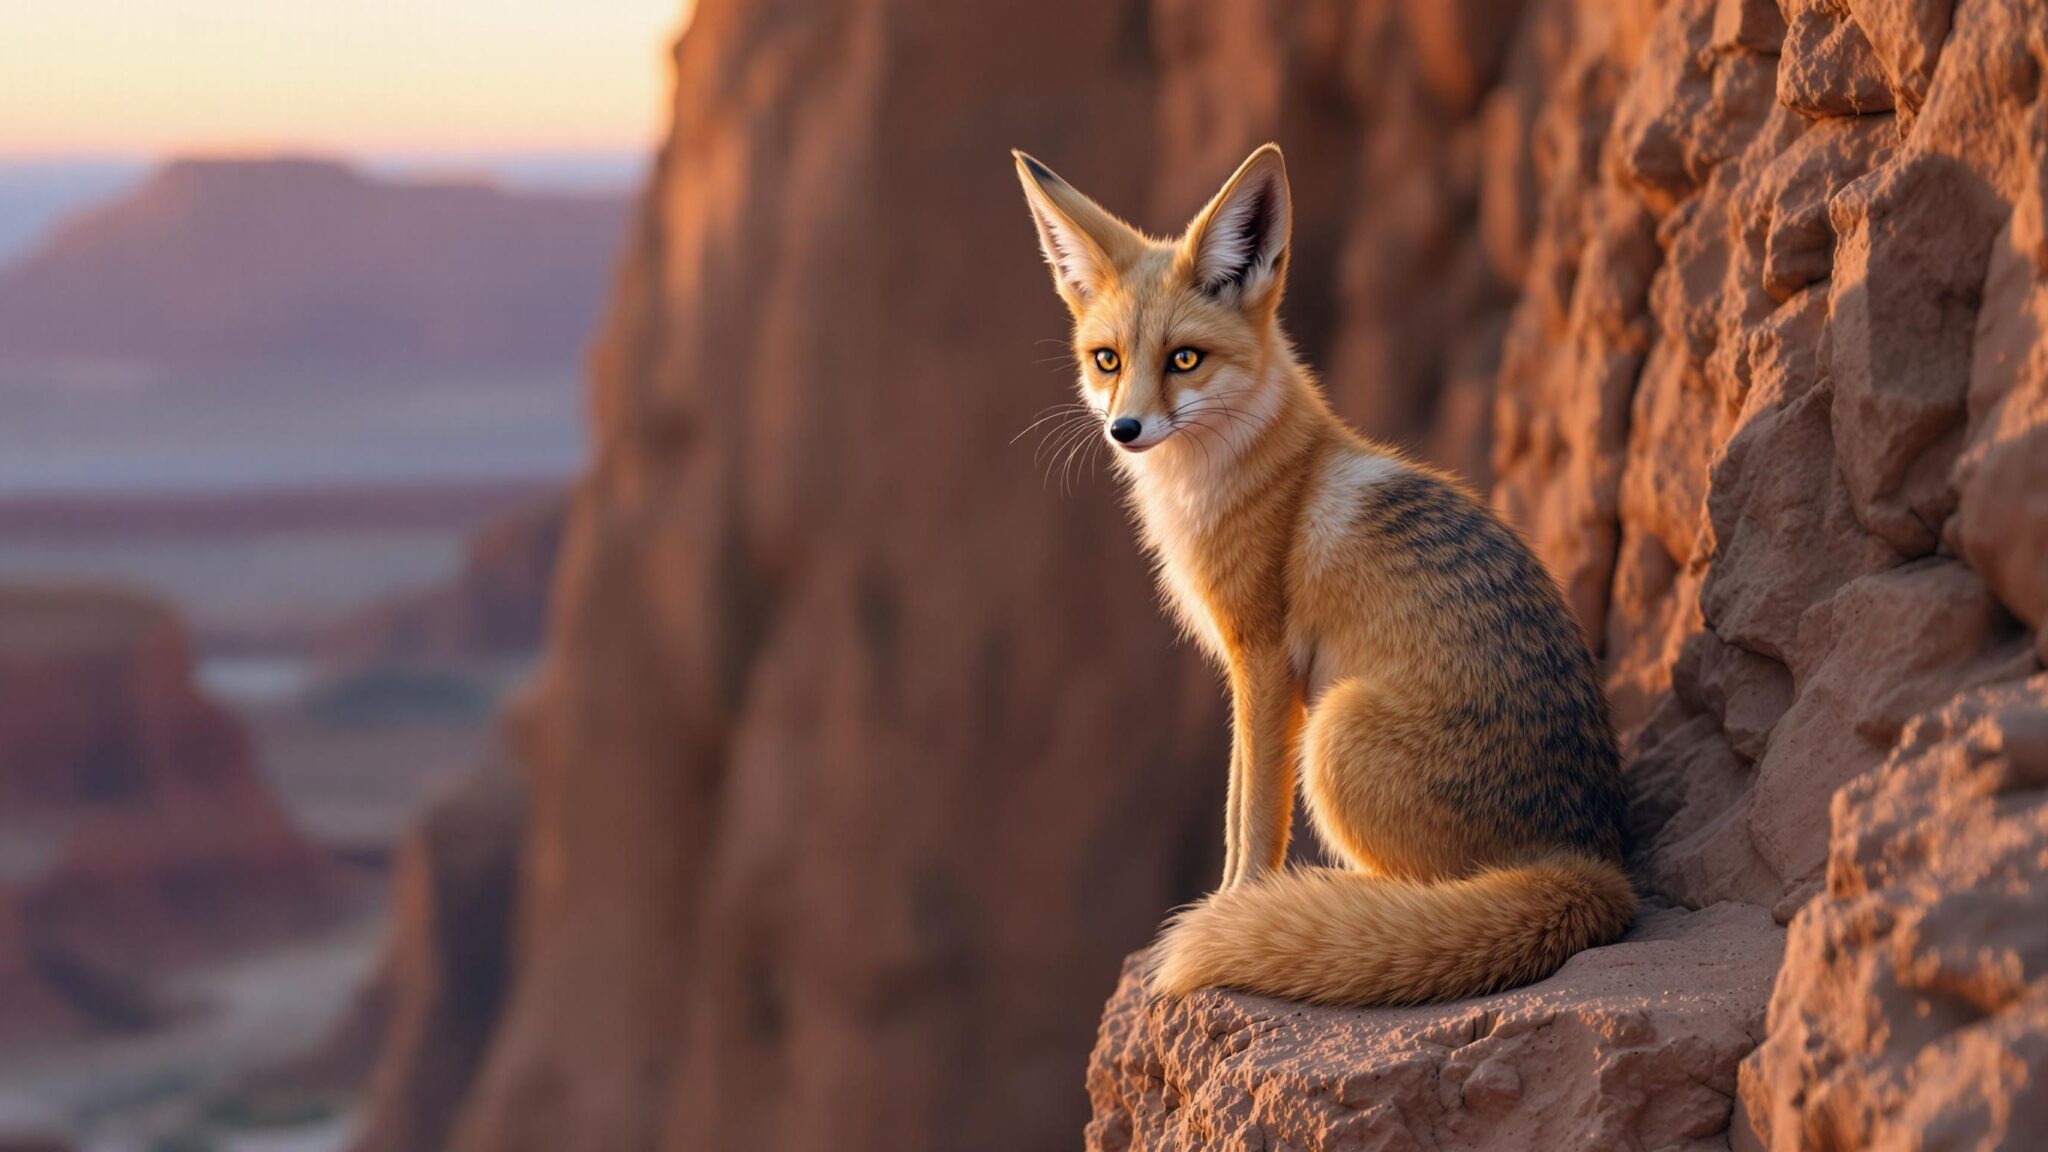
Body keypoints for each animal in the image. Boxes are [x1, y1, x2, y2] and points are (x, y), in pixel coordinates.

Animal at [1012, 143, 1635, 1006]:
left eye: (1184, 359)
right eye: (1108, 361)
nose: (1124, 429)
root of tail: (1595, 860)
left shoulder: (1265, 660)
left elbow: (1253, 819)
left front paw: (1238, 907)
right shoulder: (1248, 669)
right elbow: (1238, 805)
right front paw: (1233, 905)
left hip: (1334, 733)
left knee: (1426, 895)